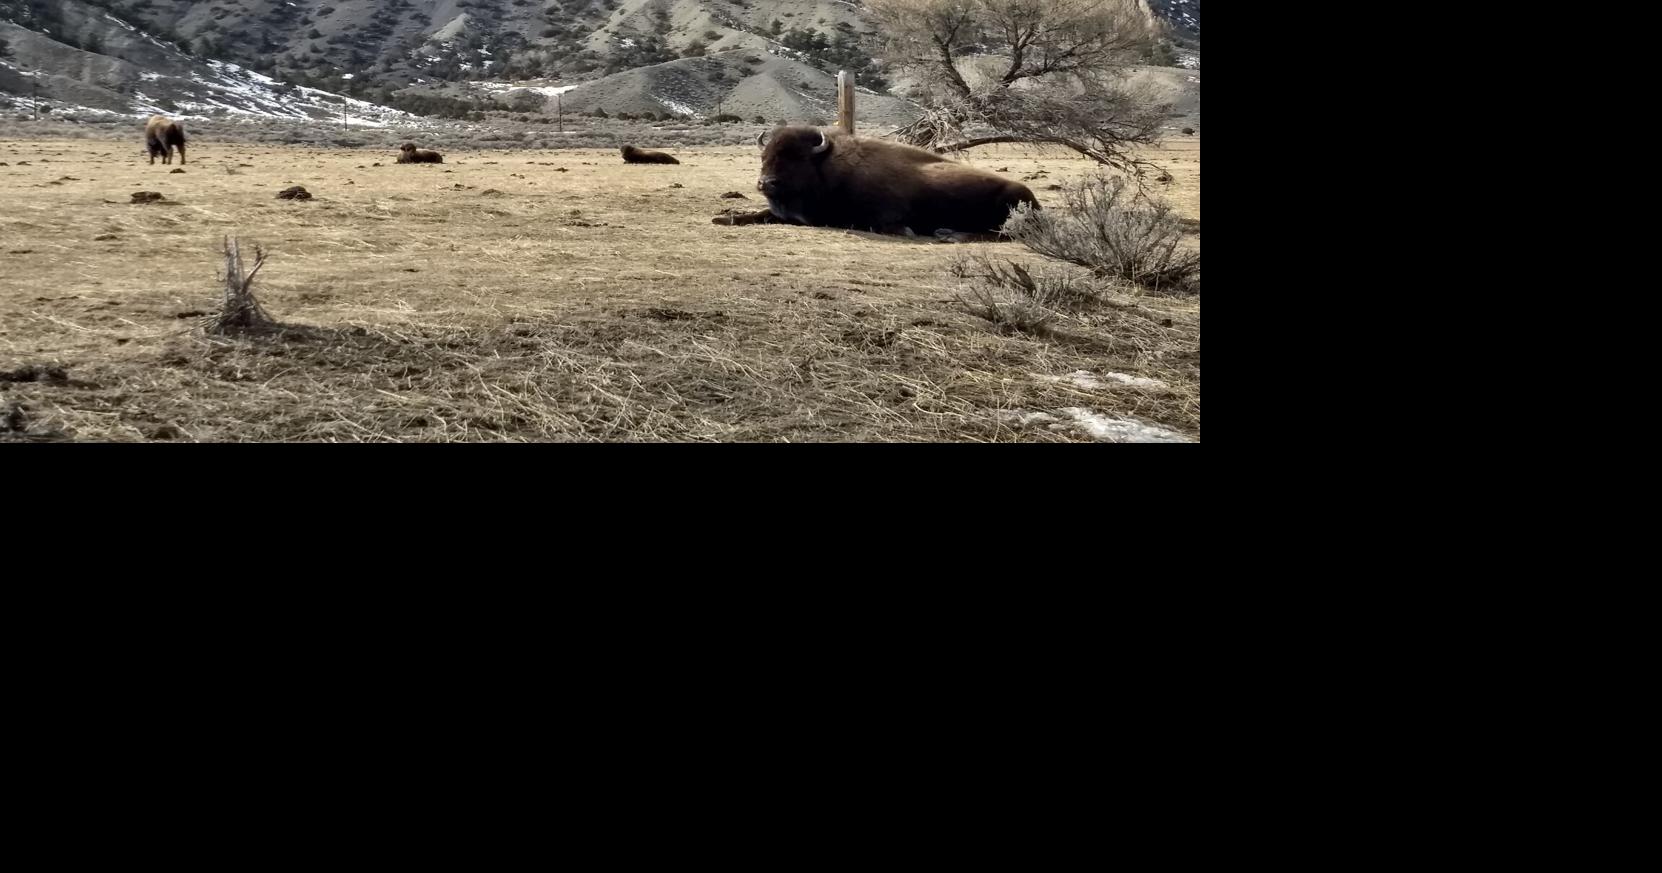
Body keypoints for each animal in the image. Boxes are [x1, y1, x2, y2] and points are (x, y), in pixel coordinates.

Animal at [718, 126, 1038, 237]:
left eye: (797, 158)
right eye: (764, 157)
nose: (765, 183)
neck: (827, 168)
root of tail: (1032, 196)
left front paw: (906, 231)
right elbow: (759, 214)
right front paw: (723, 218)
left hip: (1010, 203)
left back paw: (949, 234)